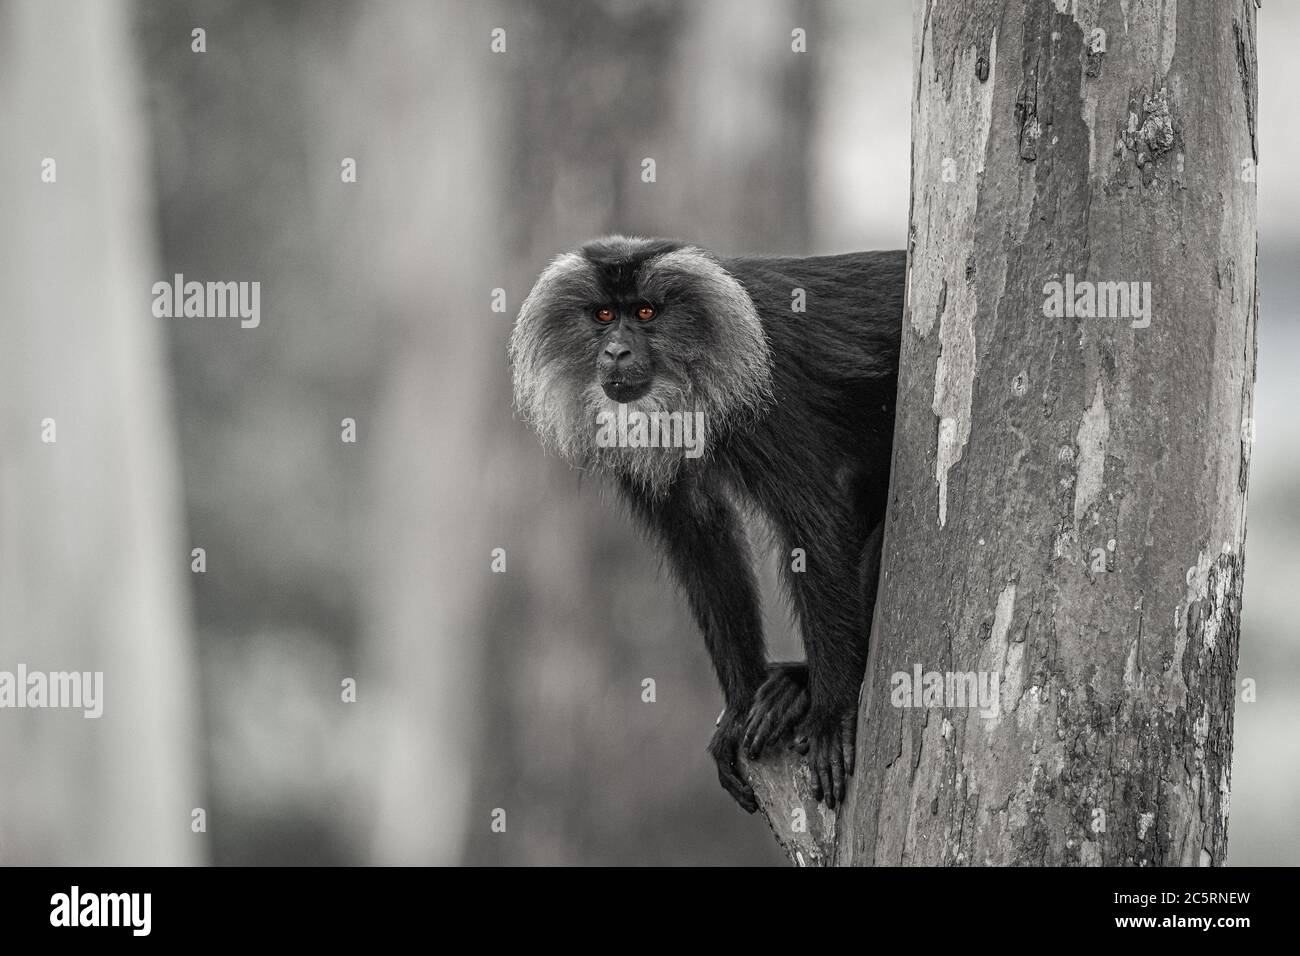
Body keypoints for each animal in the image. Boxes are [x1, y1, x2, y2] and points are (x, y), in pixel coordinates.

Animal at [510, 235, 903, 812]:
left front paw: (832, 714)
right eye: (604, 316)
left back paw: (806, 687)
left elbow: (813, 525)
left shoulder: (773, 392)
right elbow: (700, 540)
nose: (615, 352)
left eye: (645, 313)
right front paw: (739, 709)